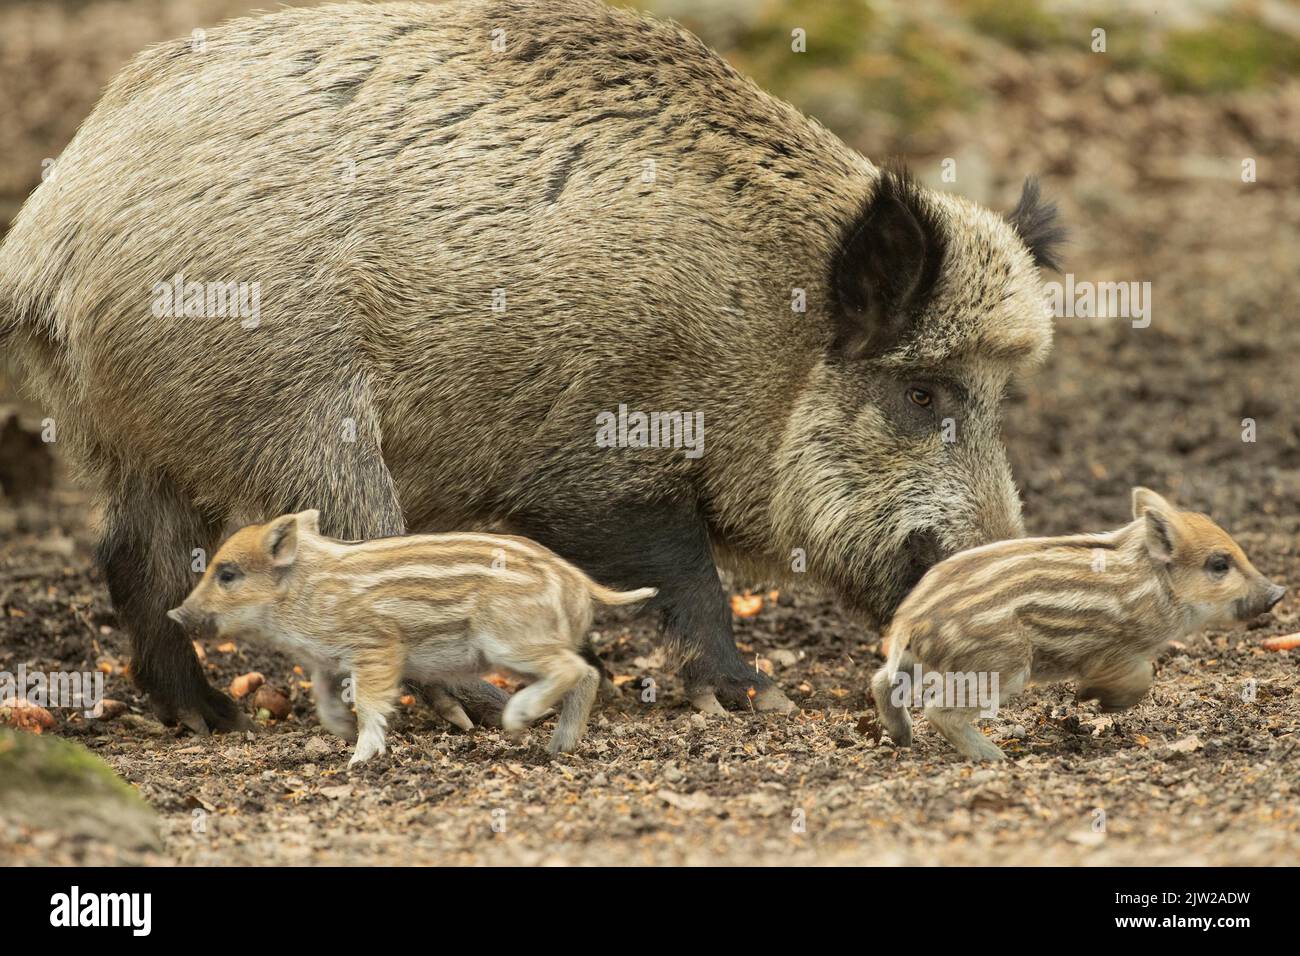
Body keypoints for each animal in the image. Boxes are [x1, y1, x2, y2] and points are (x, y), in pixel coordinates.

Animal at [0, 0, 1064, 734]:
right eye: (921, 391)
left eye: (1002, 400)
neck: (760, 326)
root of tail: (49, 234)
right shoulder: (595, 454)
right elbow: (684, 572)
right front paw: (750, 699)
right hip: (301, 417)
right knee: (351, 557)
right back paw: (472, 705)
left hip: (134, 426)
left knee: (134, 554)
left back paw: (206, 716)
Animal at [170, 509, 657, 762]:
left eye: (227, 574)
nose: (175, 614)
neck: (306, 590)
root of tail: (578, 580)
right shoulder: (326, 661)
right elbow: (325, 700)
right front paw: (341, 732)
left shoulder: (377, 646)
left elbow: (371, 703)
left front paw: (359, 758)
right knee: (587, 676)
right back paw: (559, 747)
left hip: (511, 639)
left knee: (572, 669)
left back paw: (518, 721)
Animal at [870, 488, 1287, 761]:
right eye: (1219, 564)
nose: (1279, 593)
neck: (1155, 586)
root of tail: (911, 616)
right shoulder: (1112, 650)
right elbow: (1142, 678)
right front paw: (1090, 698)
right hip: (1001, 665)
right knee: (940, 711)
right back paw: (996, 757)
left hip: (919, 658)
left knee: (882, 682)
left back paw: (903, 739)